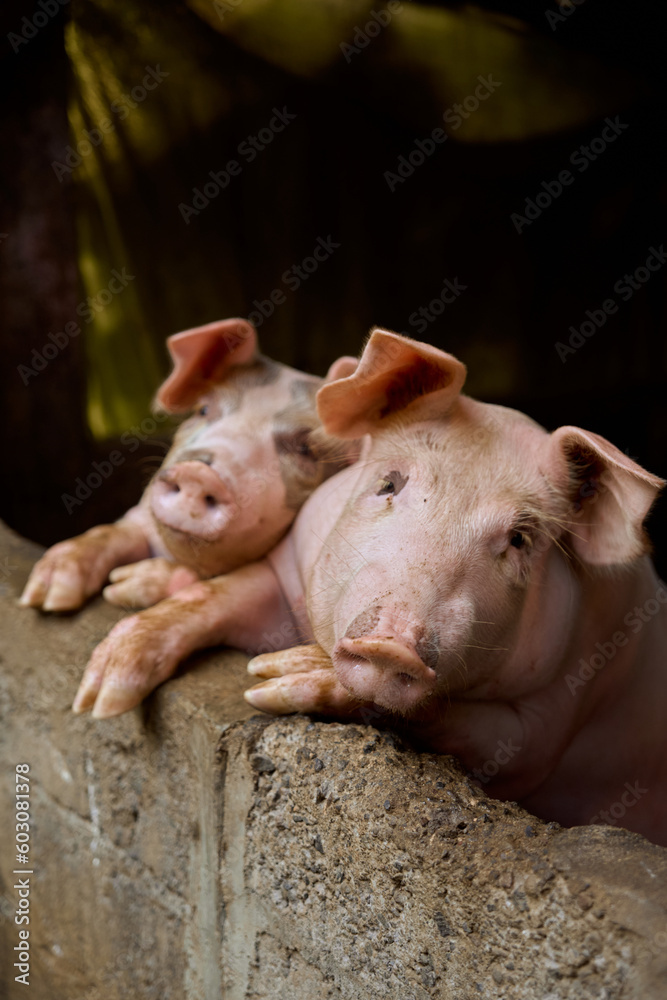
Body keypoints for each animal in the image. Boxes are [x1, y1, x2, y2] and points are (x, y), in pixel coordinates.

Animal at [20, 317, 357, 612]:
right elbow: (112, 531)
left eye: (305, 449)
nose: (198, 473)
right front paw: (47, 599)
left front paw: (122, 585)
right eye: (203, 409)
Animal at [70, 329, 667, 847]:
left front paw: (278, 678)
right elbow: (213, 597)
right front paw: (98, 699)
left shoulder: (549, 723)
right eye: (388, 483)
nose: (392, 642)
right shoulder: (281, 575)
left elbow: (463, 723)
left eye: (520, 539)